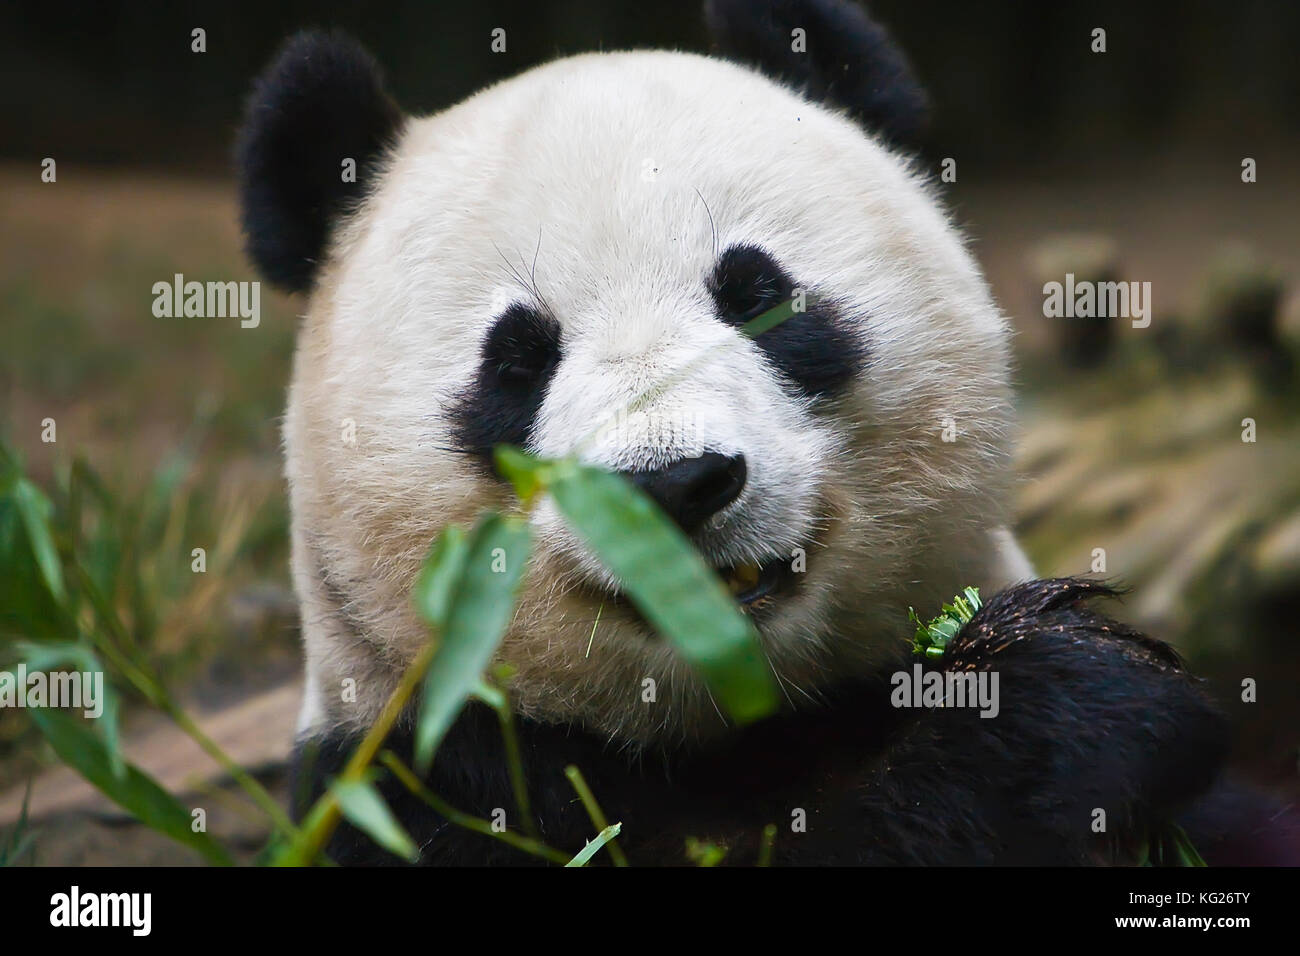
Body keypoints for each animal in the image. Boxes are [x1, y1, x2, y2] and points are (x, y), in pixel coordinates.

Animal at [235, 0, 1268, 865]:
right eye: (517, 361)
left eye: (758, 295)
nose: (674, 483)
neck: (736, 716)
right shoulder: (415, 778)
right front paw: (1065, 705)